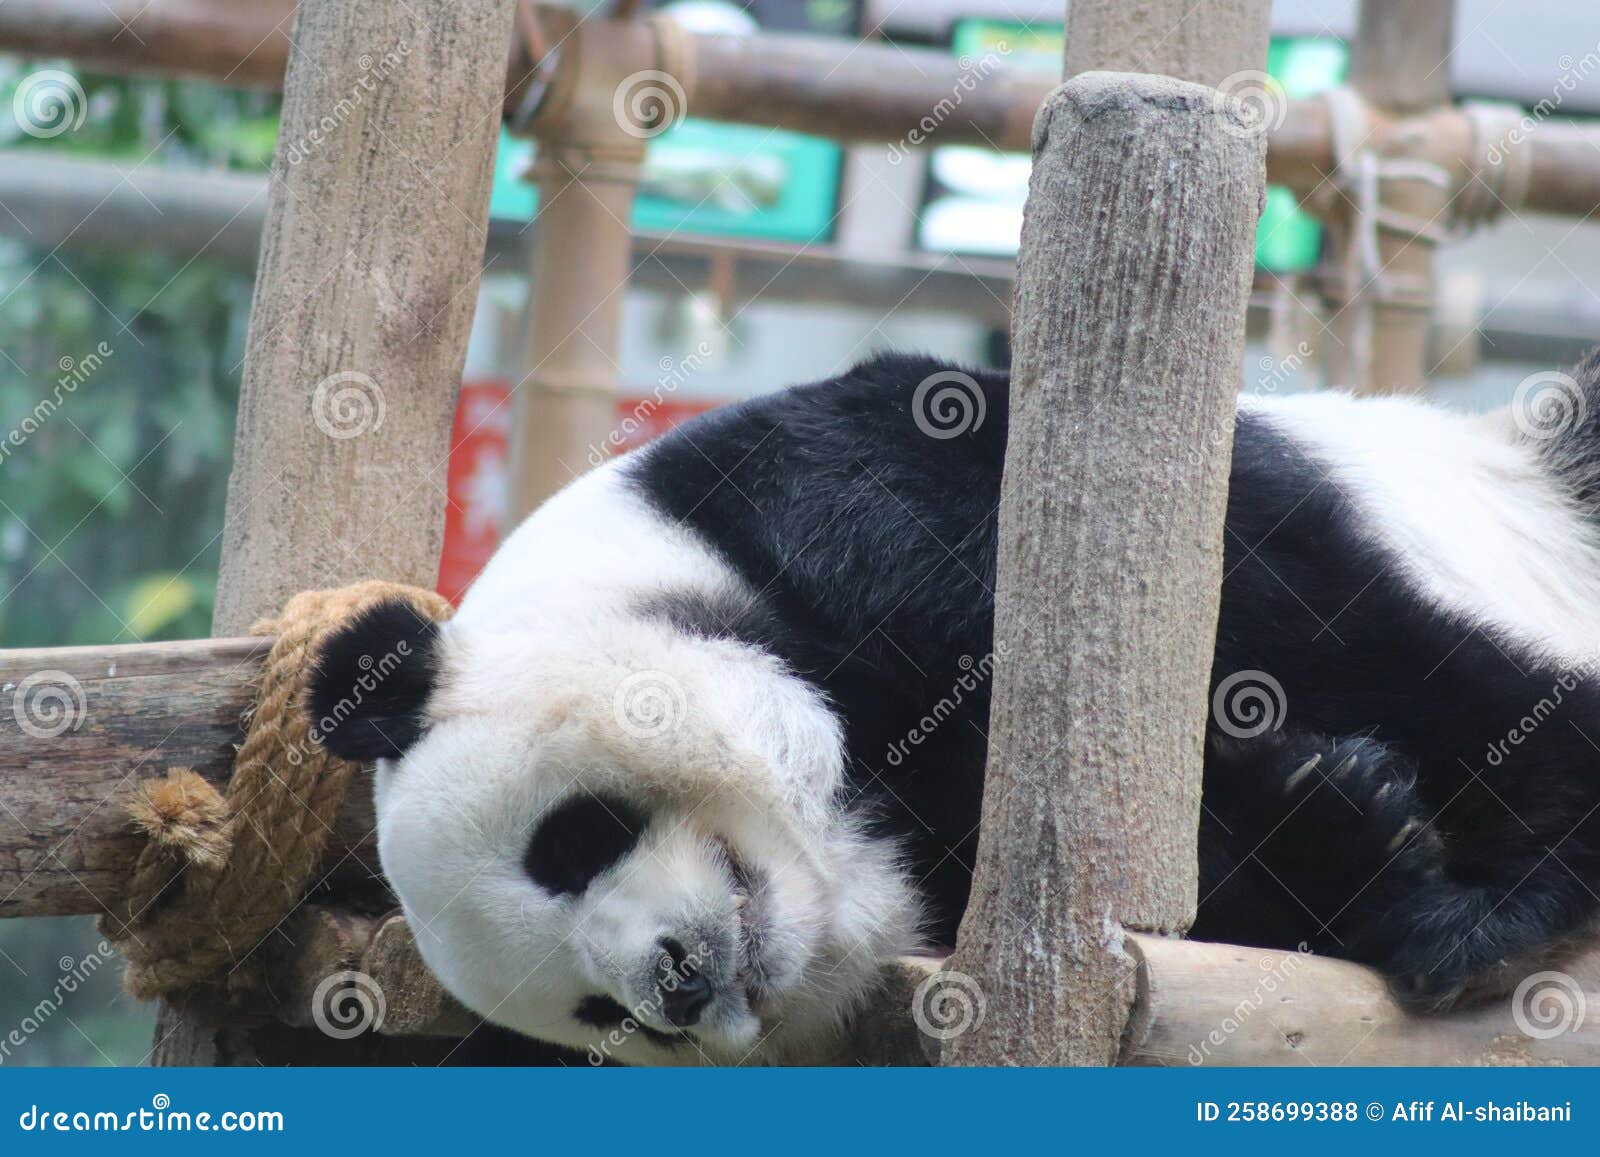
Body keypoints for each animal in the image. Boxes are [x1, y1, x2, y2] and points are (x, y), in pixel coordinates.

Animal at [310, 349, 1600, 1065]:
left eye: (574, 839)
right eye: (597, 1012)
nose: (675, 981)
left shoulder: (838, 488)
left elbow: (1295, 627)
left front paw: (1477, 898)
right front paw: (1342, 821)